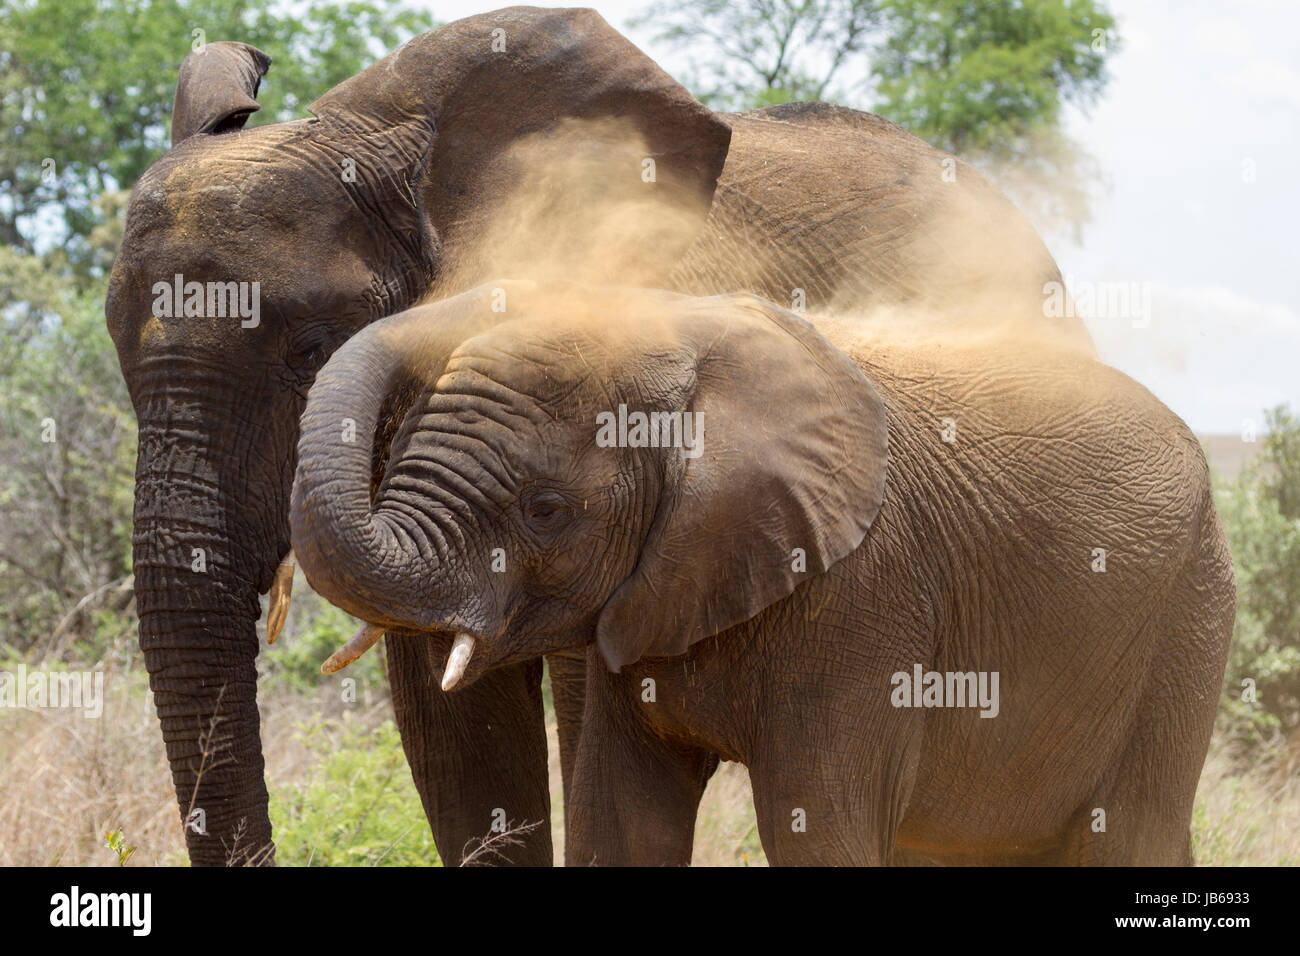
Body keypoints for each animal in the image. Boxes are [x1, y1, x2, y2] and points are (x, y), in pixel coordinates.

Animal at [289, 280, 1235, 866]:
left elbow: (818, 831)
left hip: (1188, 620)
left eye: (545, 509)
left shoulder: (866, 597)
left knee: (1127, 835)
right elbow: (622, 823)